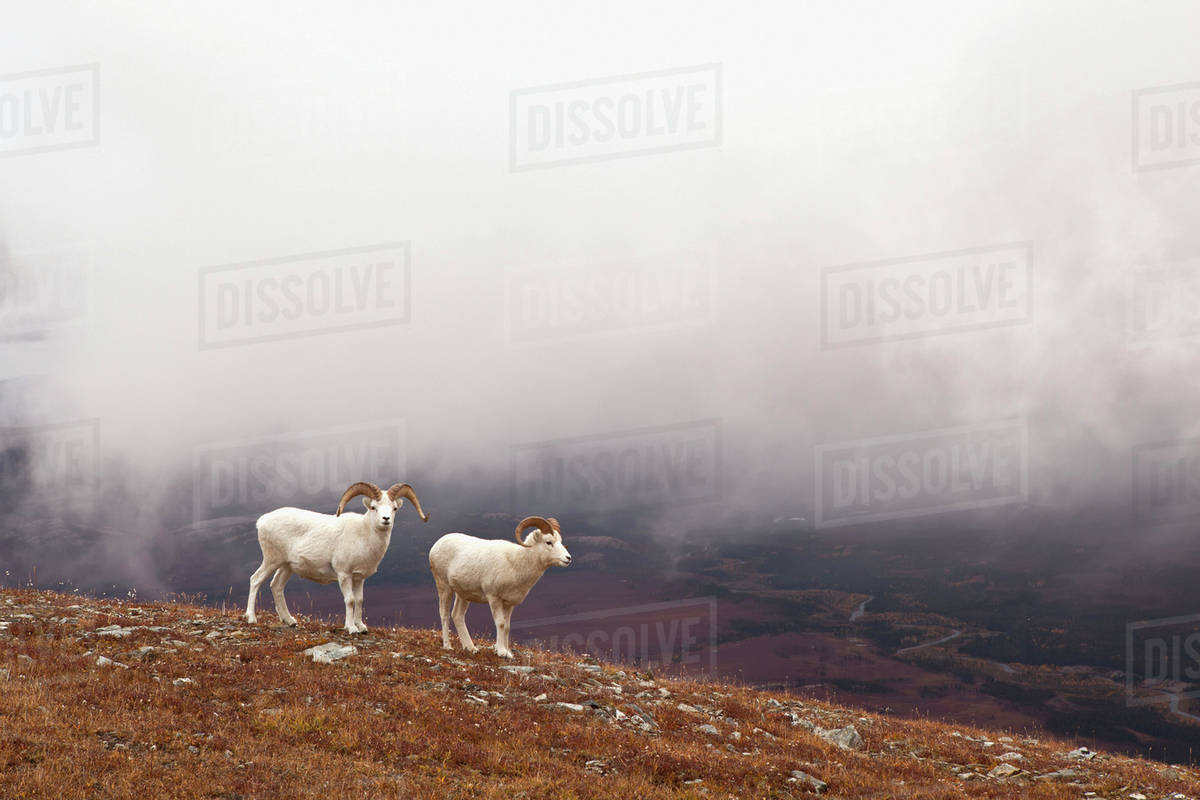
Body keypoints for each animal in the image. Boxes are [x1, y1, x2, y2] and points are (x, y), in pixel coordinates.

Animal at [246, 481, 429, 634]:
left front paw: (361, 627)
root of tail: (262, 521)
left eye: (394, 508)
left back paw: (290, 621)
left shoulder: (359, 578)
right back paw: (251, 618)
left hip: (286, 566)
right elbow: (350, 600)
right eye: (373, 507)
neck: (363, 536)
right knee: (256, 579)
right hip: (272, 560)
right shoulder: (344, 575)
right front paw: (351, 628)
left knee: (276, 586)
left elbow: (360, 600)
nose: (386, 519)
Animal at [428, 516, 571, 658]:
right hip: (444, 587)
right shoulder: (494, 598)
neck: (515, 564)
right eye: (548, 542)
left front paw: (508, 653)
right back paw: (448, 646)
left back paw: (471, 648)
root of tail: (436, 545)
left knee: (457, 615)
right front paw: (501, 652)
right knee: (444, 614)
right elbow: (500, 623)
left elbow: (507, 626)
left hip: (463, 594)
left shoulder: (509, 603)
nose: (568, 558)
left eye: (560, 541)